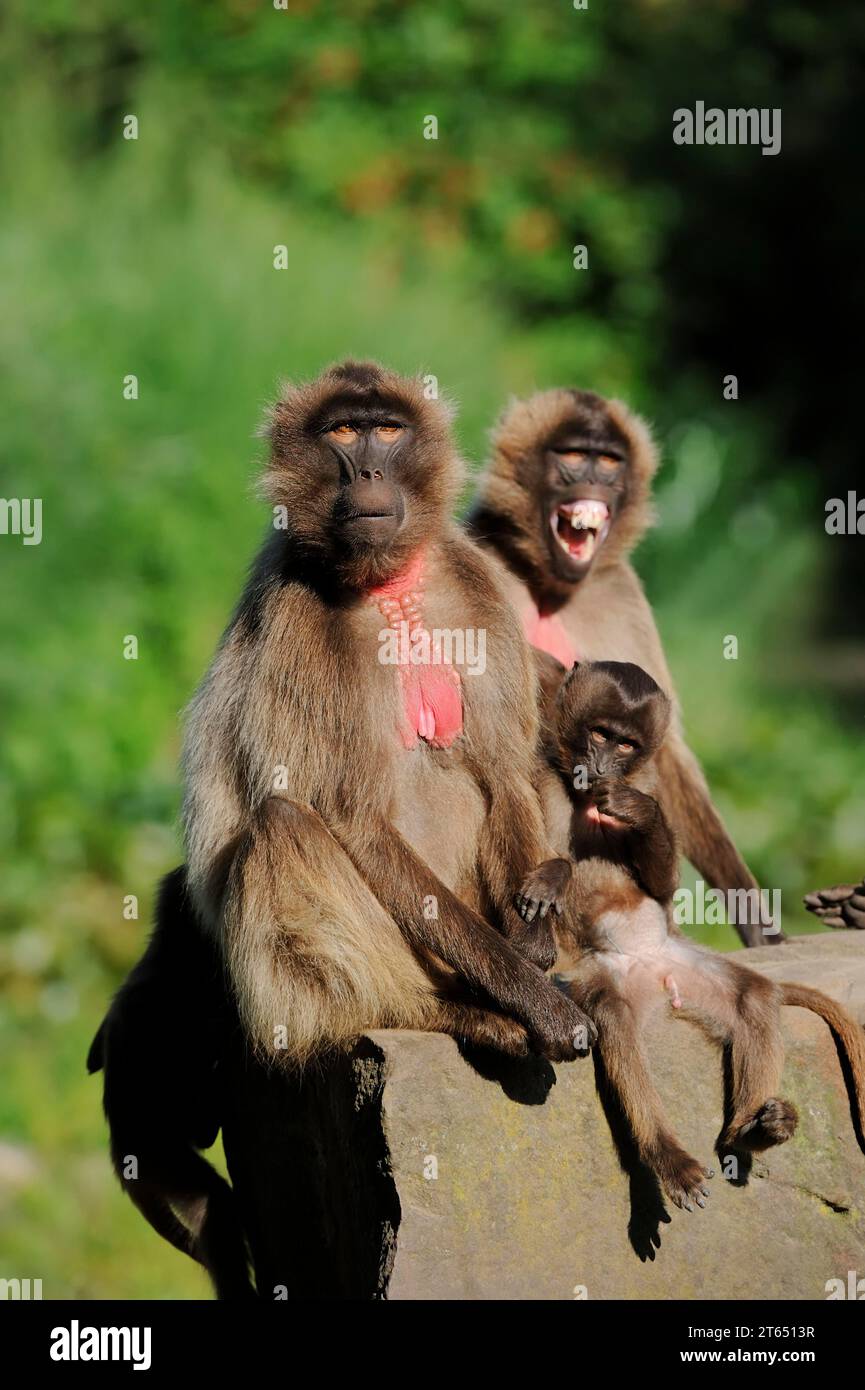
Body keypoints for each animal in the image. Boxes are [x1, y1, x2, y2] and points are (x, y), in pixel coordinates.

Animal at [467, 389, 780, 946]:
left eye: (608, 462)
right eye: (573, 456)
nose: (593, 481)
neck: (552, 586)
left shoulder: (616, 589)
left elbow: (667, 754)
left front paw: (754, 917)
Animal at [516, 659, 865, 1210]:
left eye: (626, 745)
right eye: (600, 733)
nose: (601, 767)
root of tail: (655, 974)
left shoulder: (649, 780)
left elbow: (661, 883)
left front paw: (637, 813)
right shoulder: (538, 775)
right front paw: (553, 875)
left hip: (684, 964)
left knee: (753, 996)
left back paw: (755, 1131)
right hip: (610, 977)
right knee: (615, 1021)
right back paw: (667, 1154)